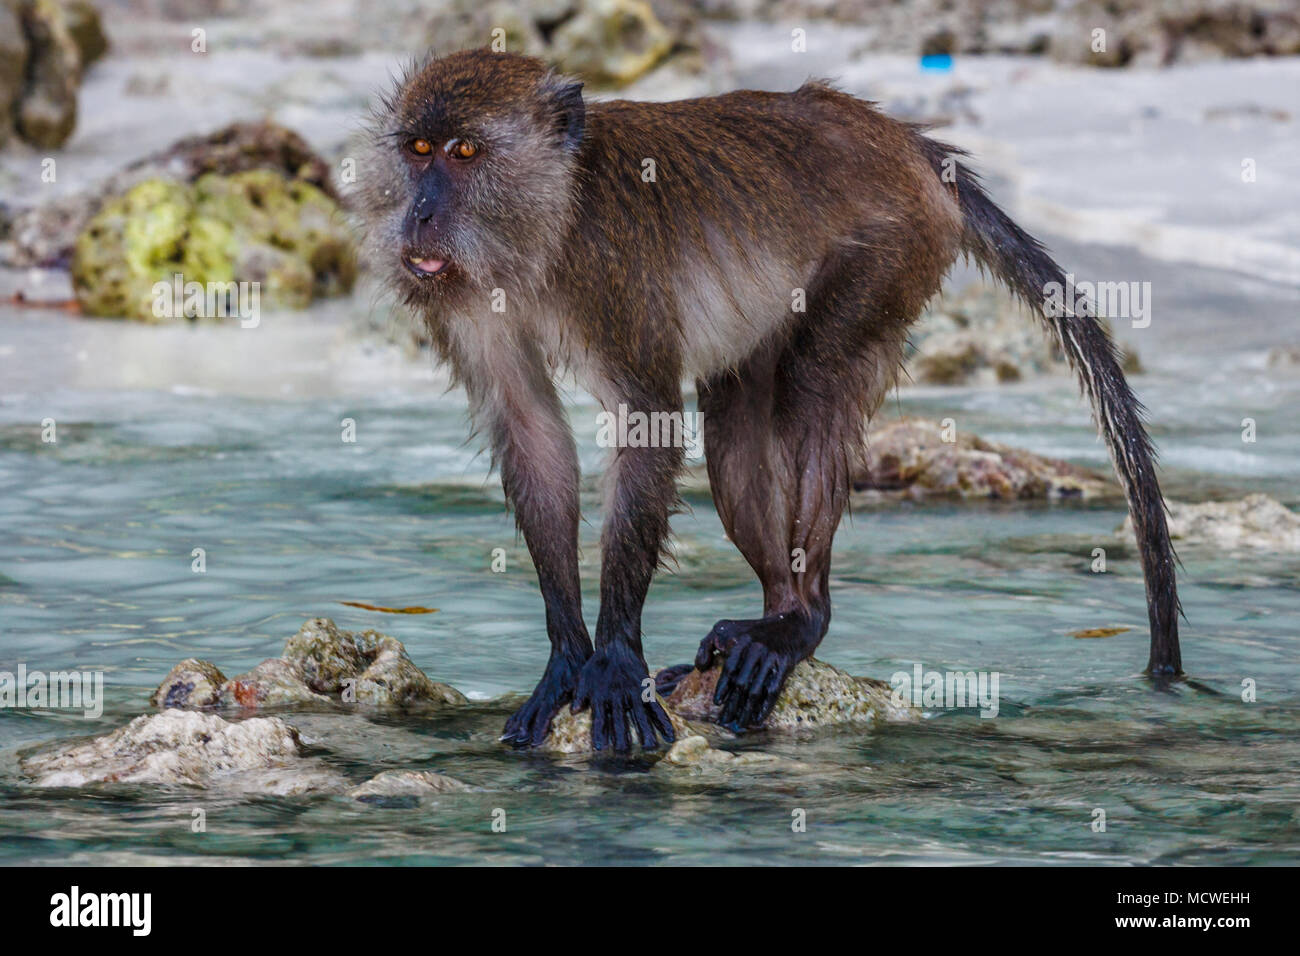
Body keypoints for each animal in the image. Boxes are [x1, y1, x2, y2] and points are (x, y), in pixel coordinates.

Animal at [358, 49, 1182, 752]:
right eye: (418, 150)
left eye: (465, 153)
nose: (421, 214)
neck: (544, 221)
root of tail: (905, 142)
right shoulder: (468, 304)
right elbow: (532, 433)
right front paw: (568, 659)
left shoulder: (610, 271)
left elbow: (648, 421)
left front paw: (616, 658)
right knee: (738, 405)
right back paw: (775, 612)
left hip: (894, 247)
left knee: (813, 385)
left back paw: (801, 620)